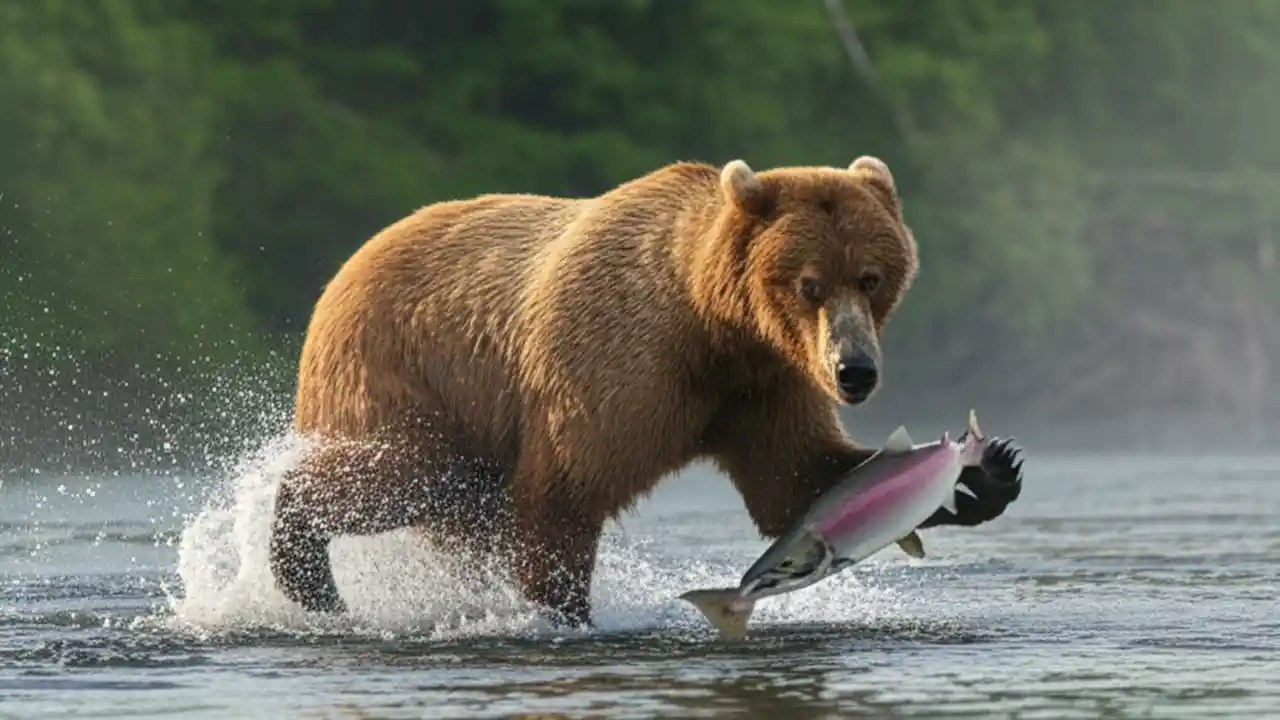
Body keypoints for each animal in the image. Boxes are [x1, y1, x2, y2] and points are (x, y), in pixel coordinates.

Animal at [269, 156, 1024, 625]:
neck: (715, 327)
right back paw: (304, 571)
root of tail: (350, 263)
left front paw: (990, 471)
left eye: (871, 276)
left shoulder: (764, 386)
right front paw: (563, 610)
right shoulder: (621, 364)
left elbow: (794, 475)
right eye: (810, 283)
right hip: (408, 374)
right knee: (395, 475)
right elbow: (566, 487)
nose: (855, 370)